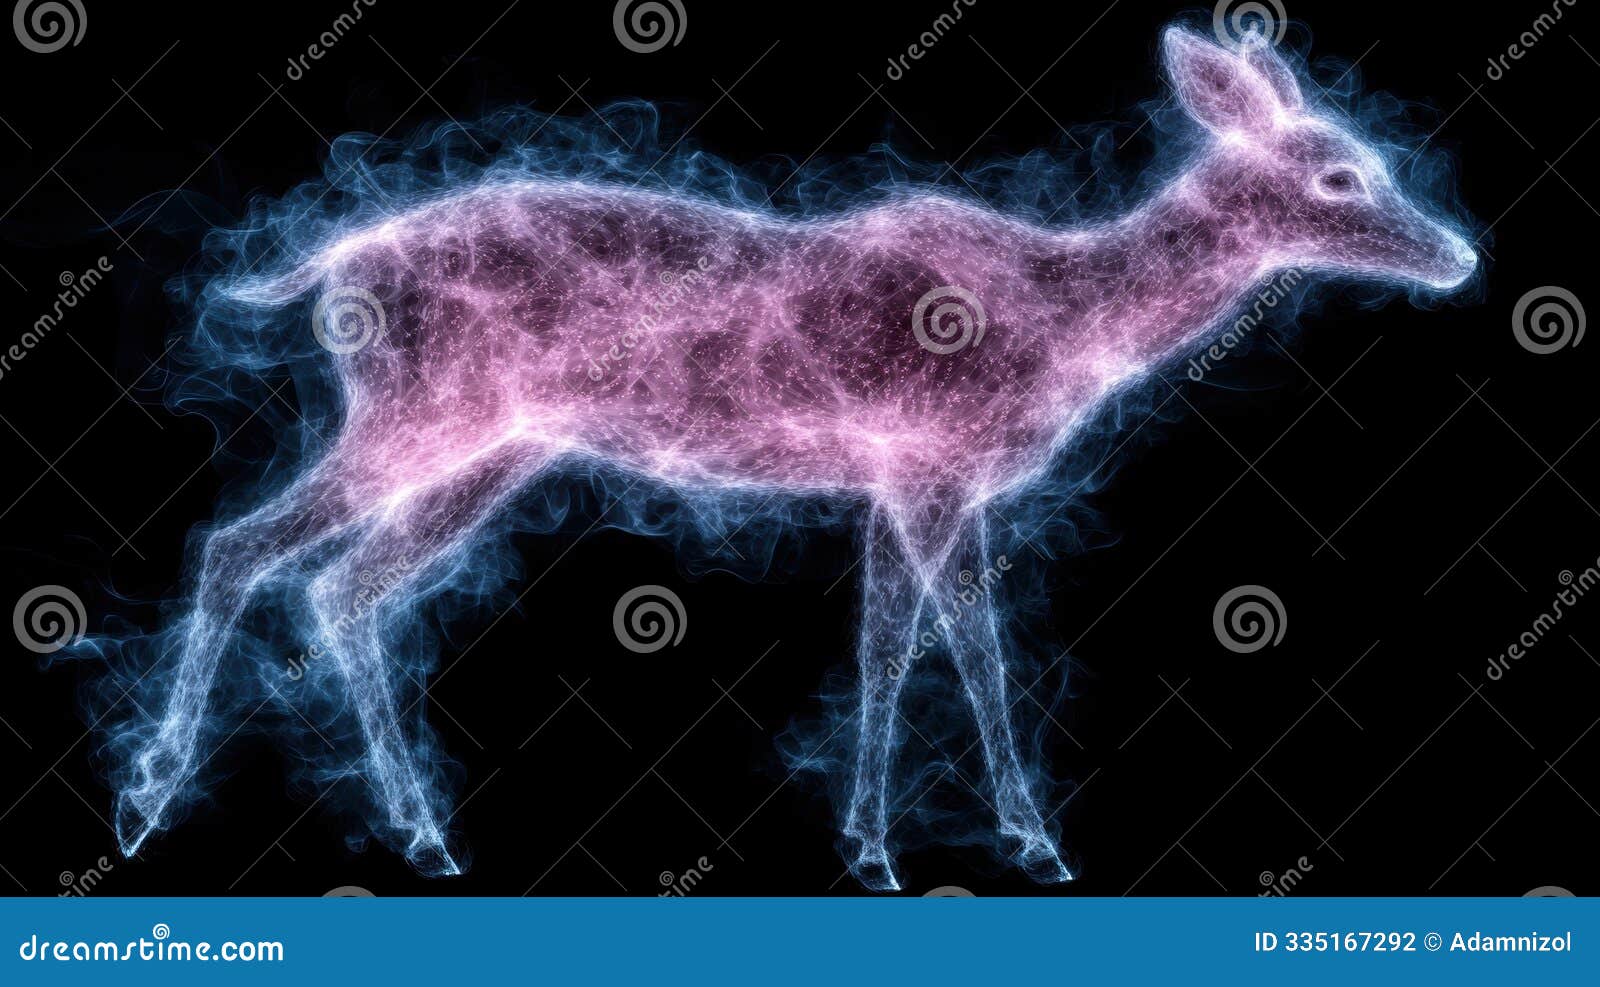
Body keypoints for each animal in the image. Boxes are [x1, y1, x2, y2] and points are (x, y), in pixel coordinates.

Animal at [110, 27, 1475, 891]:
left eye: (1379, 158)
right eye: (1341, 172)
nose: (1461, 256)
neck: (1064, 322)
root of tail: (326, 264)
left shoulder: (895, 480)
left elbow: (884, 644)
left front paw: (874, 843)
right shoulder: (930, 463)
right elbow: (962, 648)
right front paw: (1015, 845)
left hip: (493, 447)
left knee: (346, 585)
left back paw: (422, 836)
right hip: (418, 414)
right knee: (242, 545)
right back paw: (150, 798)